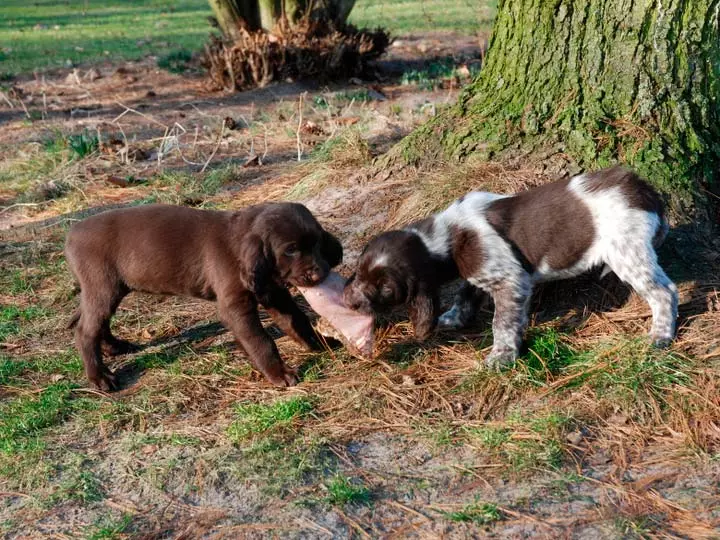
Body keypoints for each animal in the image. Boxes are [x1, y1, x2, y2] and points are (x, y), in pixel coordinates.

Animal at [64, 201, 340, 388]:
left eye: (317, 242)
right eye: (290, 250)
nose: (319, 273)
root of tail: (71, 234)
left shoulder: (273, 293)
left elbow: (296, 321)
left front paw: (318, 343)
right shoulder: (235, 306)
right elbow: (262, 341)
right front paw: (279, 373)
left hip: (109, 289)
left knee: (97, 322)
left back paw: (114, 347)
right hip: (103, 287)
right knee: (85, 330)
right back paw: (99, 377)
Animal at [346, 167, 676, 368]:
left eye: (386, 288)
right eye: (359, 271)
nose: (350, 302)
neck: (447, 235)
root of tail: (642, 188)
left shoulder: (510, 280)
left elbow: (502, 322)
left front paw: (502, 356)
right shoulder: (483, 269)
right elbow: (466, 291)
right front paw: (454, 317)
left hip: (627, 252)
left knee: (665, 292)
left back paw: (660, 335)